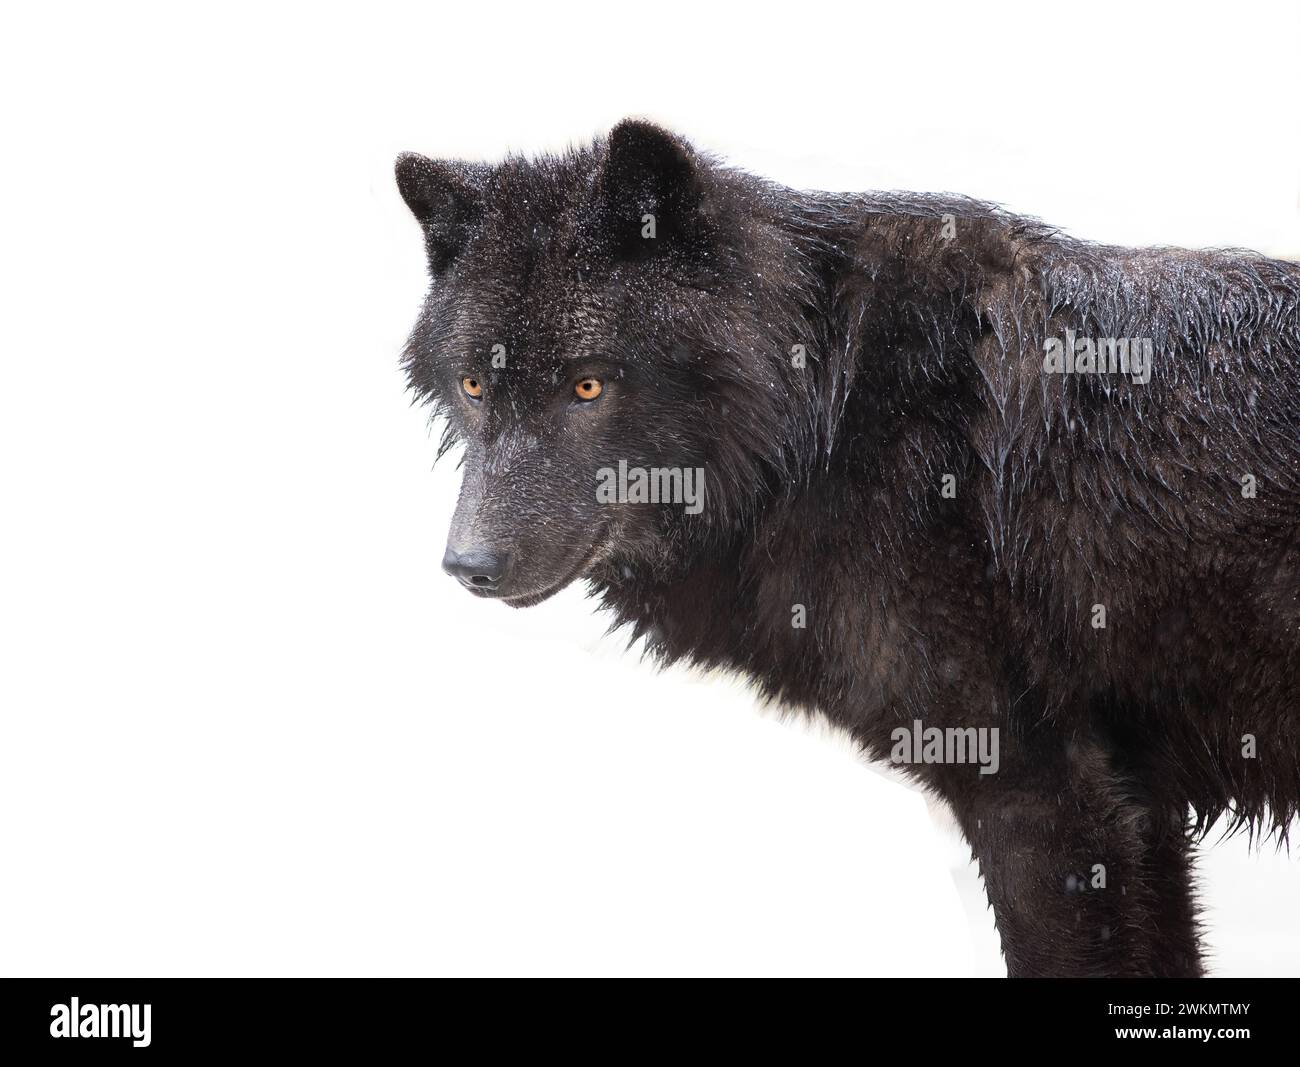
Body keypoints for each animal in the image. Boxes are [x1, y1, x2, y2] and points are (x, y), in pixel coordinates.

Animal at [395, 119, 1300, 977]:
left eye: (587, 384)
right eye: (474, 384)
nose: (468, 565)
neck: (820, 419)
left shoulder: (1044, 790)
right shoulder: (1139, 806)